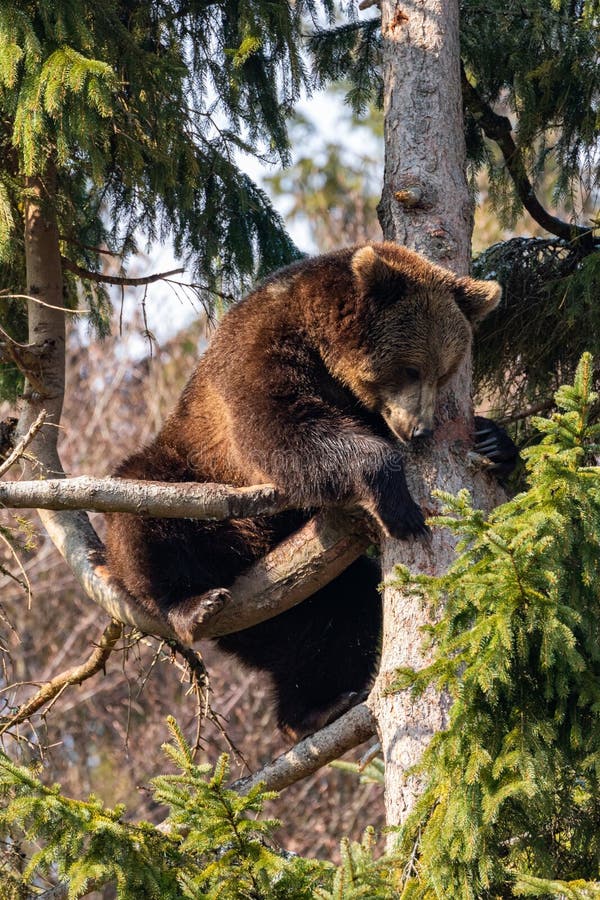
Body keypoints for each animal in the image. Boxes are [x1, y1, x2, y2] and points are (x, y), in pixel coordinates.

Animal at [104, 242, 504, 740]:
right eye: (411, 369)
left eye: (443, 372)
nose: (420, 429)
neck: (320, 344)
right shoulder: (260, 358)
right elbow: (282, 433)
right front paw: (399, 503)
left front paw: (494, 441)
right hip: (188, 480)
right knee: (143, 515)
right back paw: (191, 604)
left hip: (291, 599)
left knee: (338, 617)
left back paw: (315, 708)